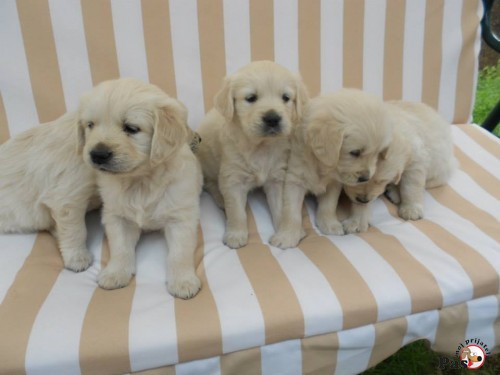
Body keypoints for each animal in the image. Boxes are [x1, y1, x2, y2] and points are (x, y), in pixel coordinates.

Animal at [79, 78, 202, 300]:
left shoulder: (181, 217)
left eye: (131, 128)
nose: (97, 154)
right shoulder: (116, 216)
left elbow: (179, 253)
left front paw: (183, 281)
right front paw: (115, 273)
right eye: (90, 125)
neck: (140, 181)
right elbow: (120, 247)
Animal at [196, 61, 308, 250]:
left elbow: (281, 207)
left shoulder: (277, 177)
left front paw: (286, 233)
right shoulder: (232, 178)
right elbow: (236, 212)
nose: (272, 118)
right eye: (251, 98)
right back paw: (220, 199)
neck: (260, 146)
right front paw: (235, 235)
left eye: (285, 98)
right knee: (211, 183)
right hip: (208, 161)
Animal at [270, 89, 390, 250]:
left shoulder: (334, 183)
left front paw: (330, 225)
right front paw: (287, 236)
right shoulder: (293, 179)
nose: (365, 178)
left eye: (377, 153)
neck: (321, 164)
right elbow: (291, 212)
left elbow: (329, 205)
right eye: (355, 152)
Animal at [344, 101, 458, 234]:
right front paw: (356, 221)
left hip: (440, 165)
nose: (363, 200)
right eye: (360, 179)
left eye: (382, 181)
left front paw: (411, 209)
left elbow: (411, 187)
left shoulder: (416, 161)